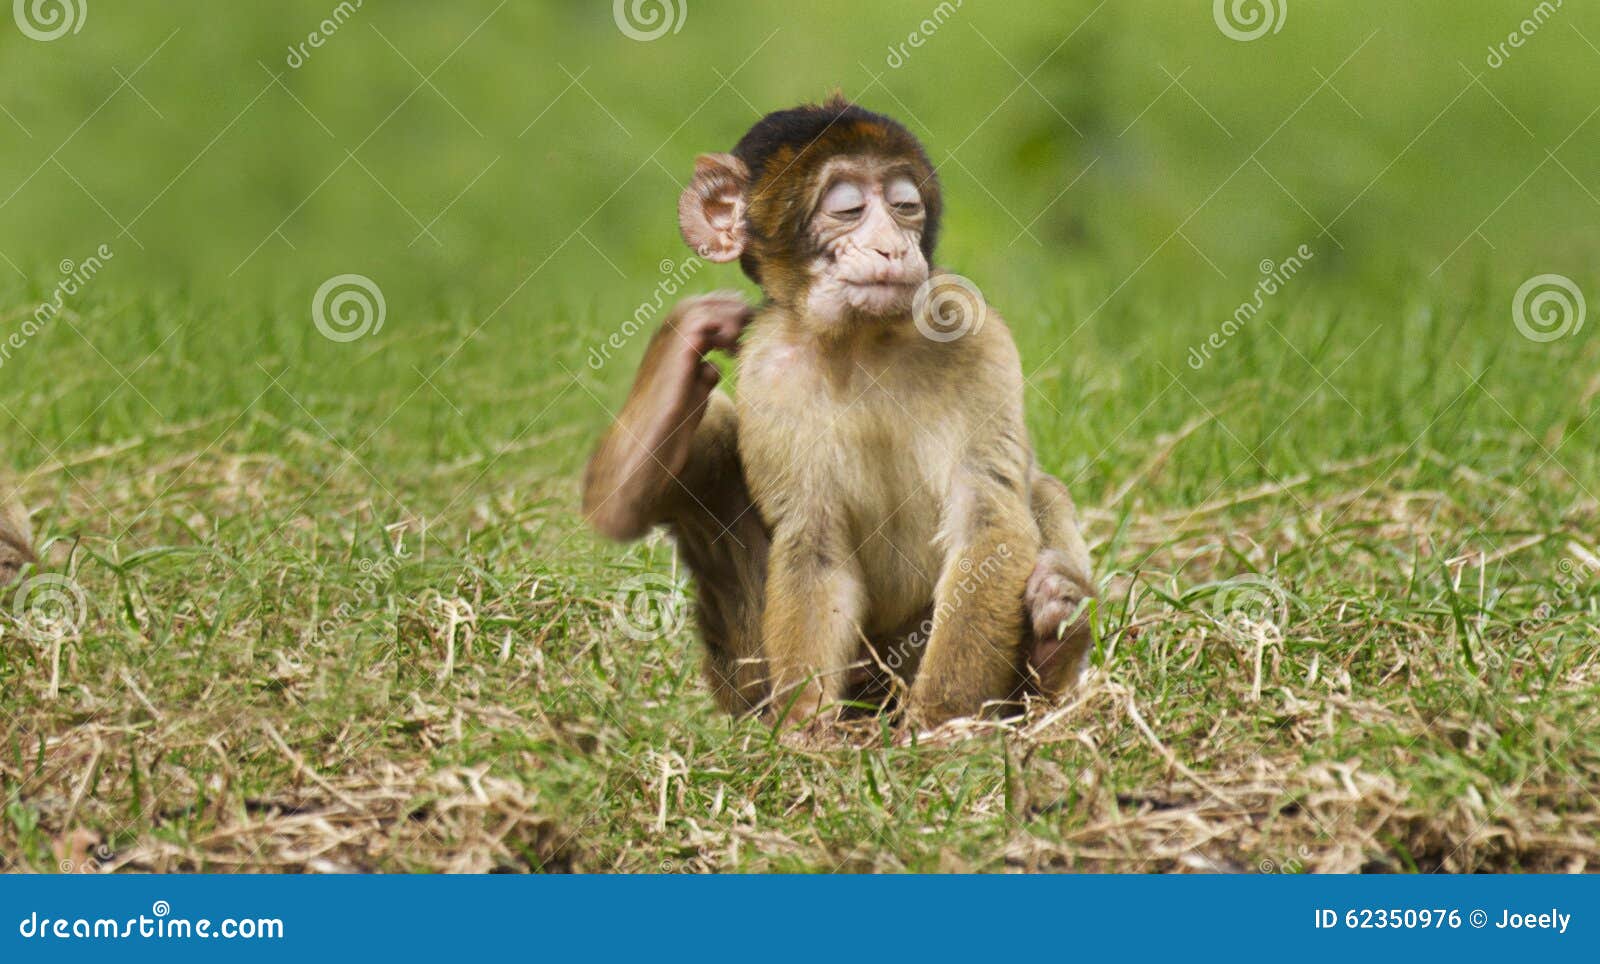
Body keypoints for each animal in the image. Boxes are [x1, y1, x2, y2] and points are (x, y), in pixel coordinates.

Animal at [584, 96, 1095, 728]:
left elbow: (987, 519)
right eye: (847, 208)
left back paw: (1051, 653)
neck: (861, 340)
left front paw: (939, 727)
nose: (892, 248)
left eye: (904, 206)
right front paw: (806, 727)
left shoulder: (973, 329)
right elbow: (813, 541)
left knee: (1039, 490)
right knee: (653, 485)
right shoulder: (768, 372)